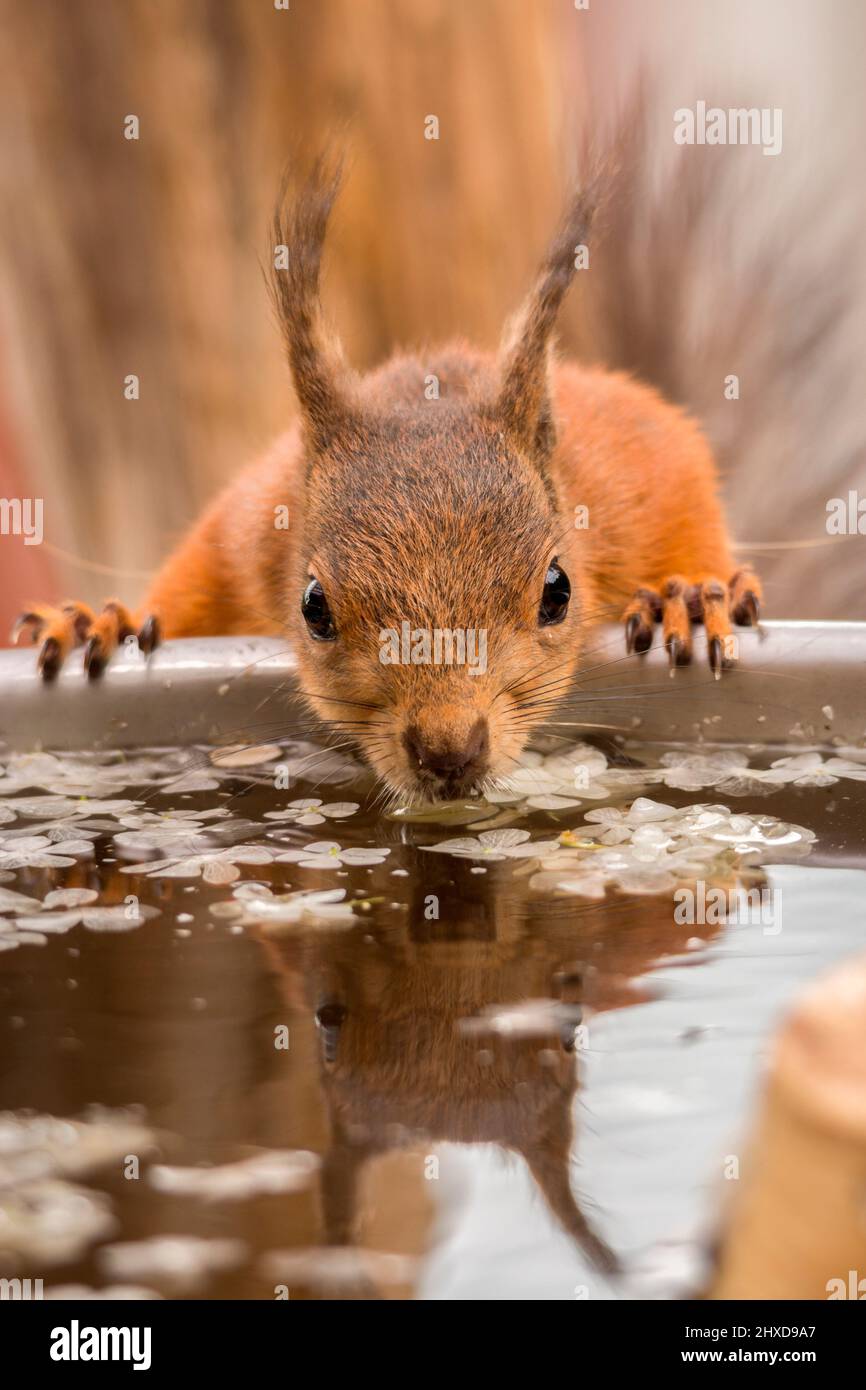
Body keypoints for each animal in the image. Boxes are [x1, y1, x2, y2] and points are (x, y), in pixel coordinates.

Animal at [14, 152, 761, 802]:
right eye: (313, 608)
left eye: (558, 591)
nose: (449, 752)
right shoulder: (244, 529)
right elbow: (185, 595)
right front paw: (96, 623)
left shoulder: (647, 472)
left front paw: (688, 598)